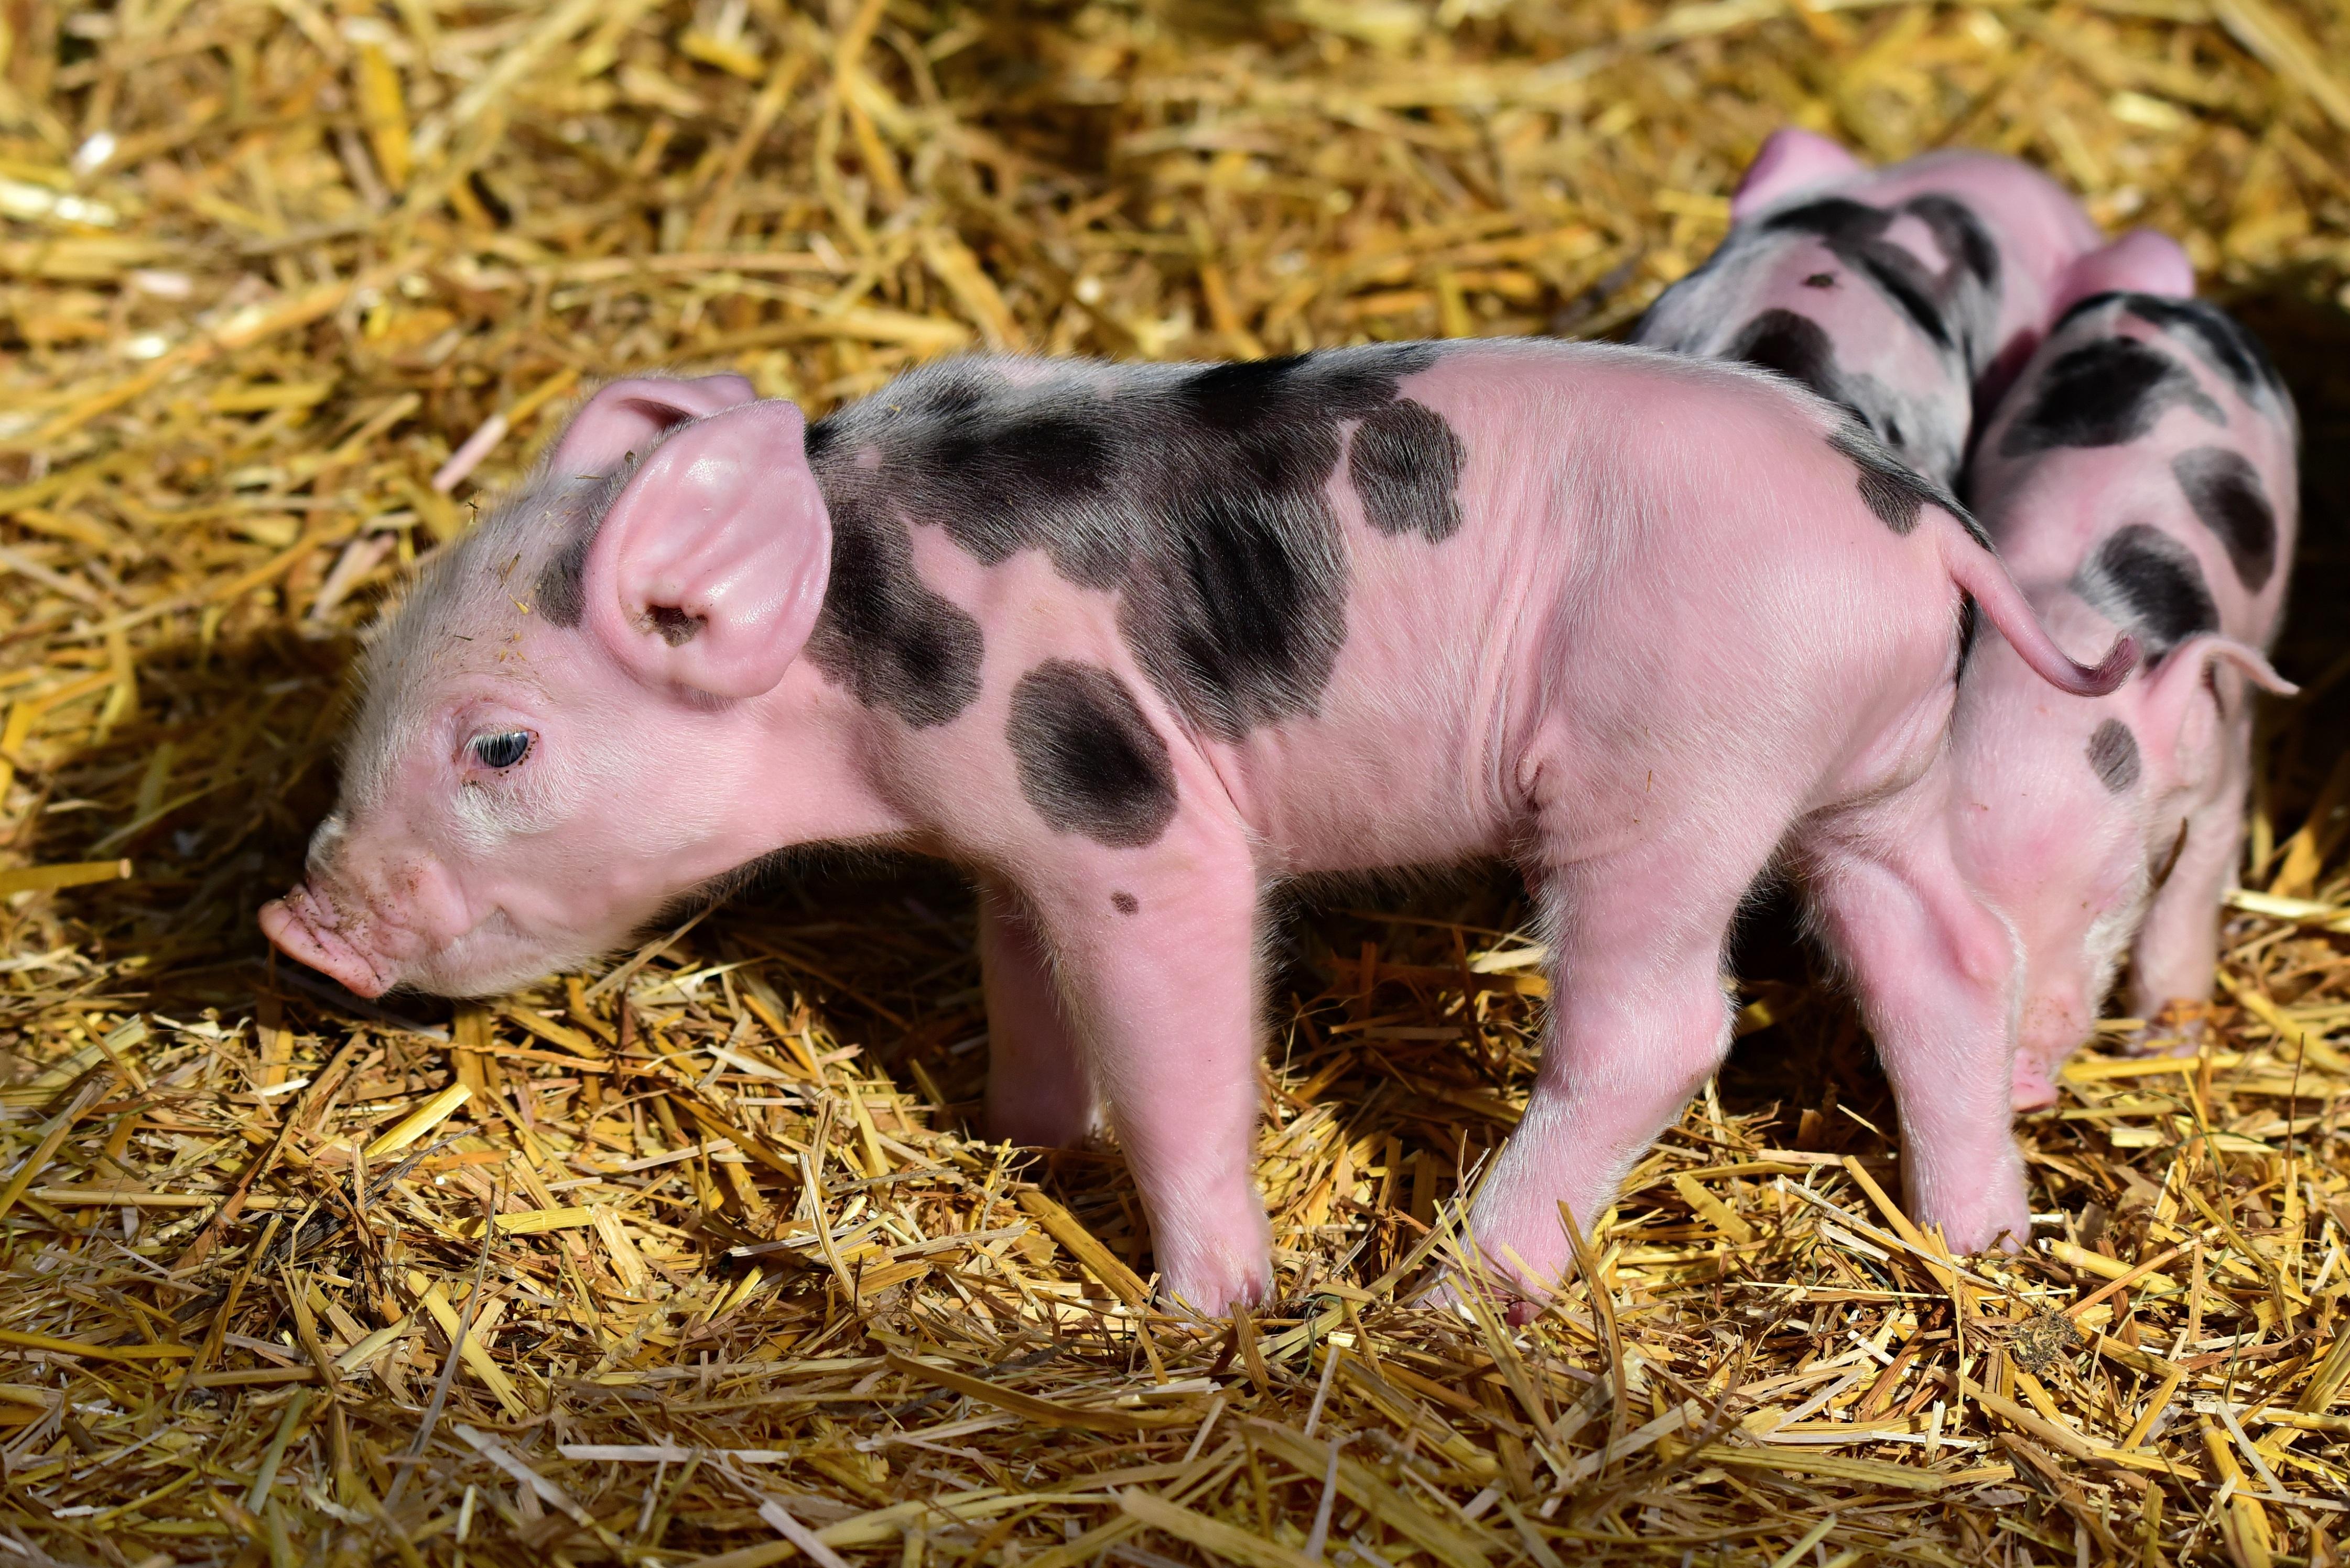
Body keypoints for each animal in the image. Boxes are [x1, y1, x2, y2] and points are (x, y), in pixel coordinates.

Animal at [261, 341, 2131, 1313]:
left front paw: (1207, 1304)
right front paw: (1026, 1142)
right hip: (1864, 776)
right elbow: (1023, 983)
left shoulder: (1129, 814)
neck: (858, 657)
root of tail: (1922, 524)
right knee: (1948, 951)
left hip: (1675, 773)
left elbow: (1180, 1039)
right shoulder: (1010, 833)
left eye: (500, 744)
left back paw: (1449, 1301)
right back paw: (1983, 1241)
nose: (302, 926)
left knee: (1661, 1025)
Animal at [1949, 232, 2300, 1110]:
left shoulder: (2217, 765)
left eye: (2110, 894)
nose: (2019, 1087)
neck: (2073, 620)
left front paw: (2166, 1044)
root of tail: (2151, 300)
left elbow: (2182, 913)